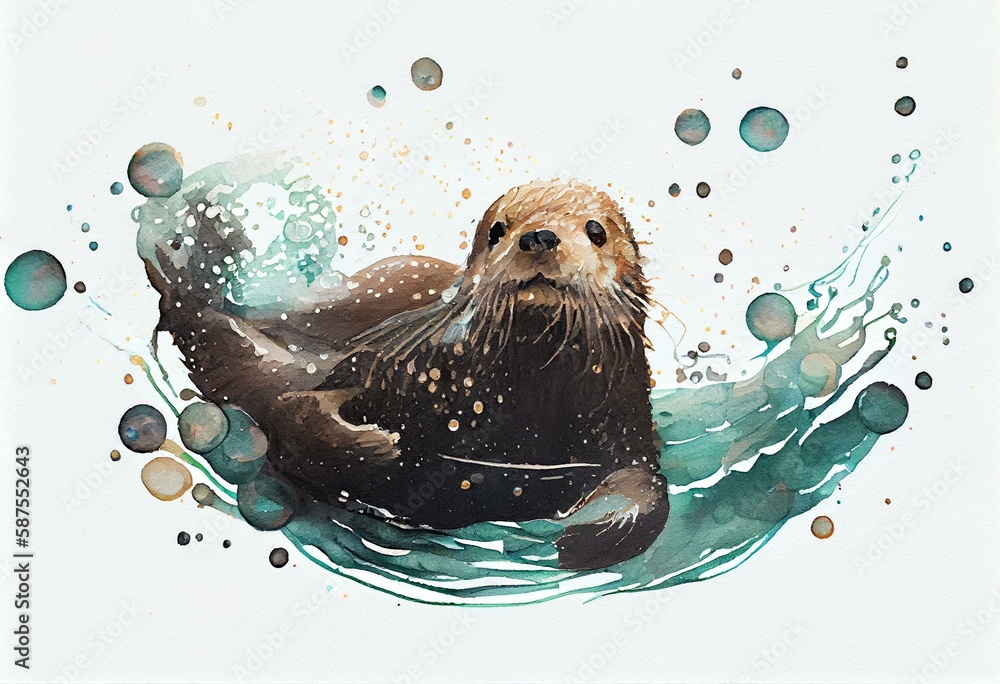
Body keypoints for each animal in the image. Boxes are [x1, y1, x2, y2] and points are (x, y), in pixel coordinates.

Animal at [144, 179, 668, 570]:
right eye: (498, 230)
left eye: (596, 230)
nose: (538, 236)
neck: (527, 405)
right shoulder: (381, 367)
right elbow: (297, 413)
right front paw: (377, 444)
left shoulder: (624, 428)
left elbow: (649, 493)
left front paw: (580, 538)